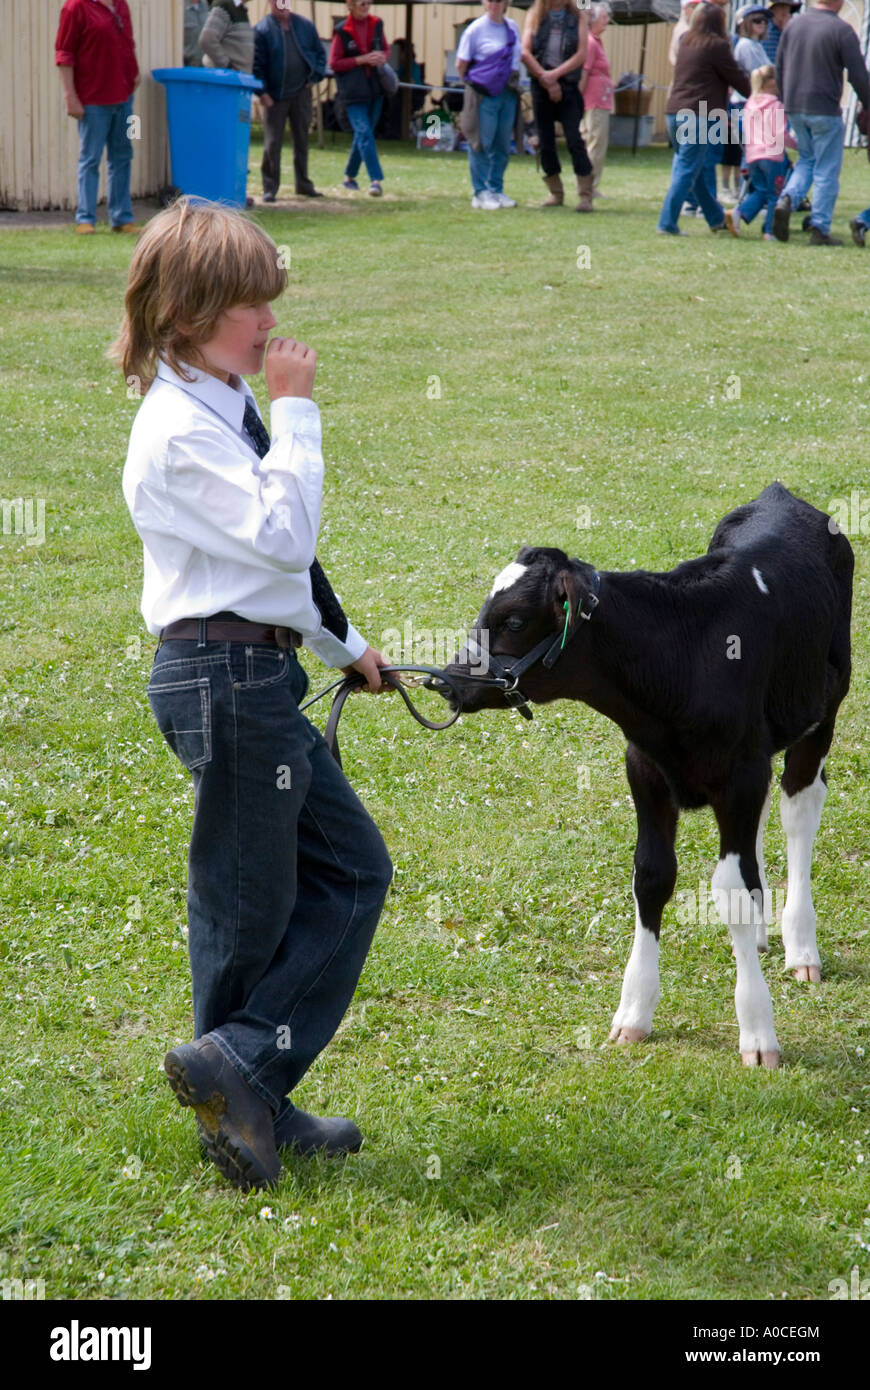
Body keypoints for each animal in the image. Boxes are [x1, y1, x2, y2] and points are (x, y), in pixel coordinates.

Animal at [437, 483, 854, 1068]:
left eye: (515, 621)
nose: (447, 681)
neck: (684, 658)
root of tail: (781, 495)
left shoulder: (739, 773)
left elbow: (731, 889)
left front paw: (757, 1032)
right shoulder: (647, 767)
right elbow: (653, 875)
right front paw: (634, 1011)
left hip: (822, 711)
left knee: (799, 812)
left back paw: (800, 944)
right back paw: (763, 929)